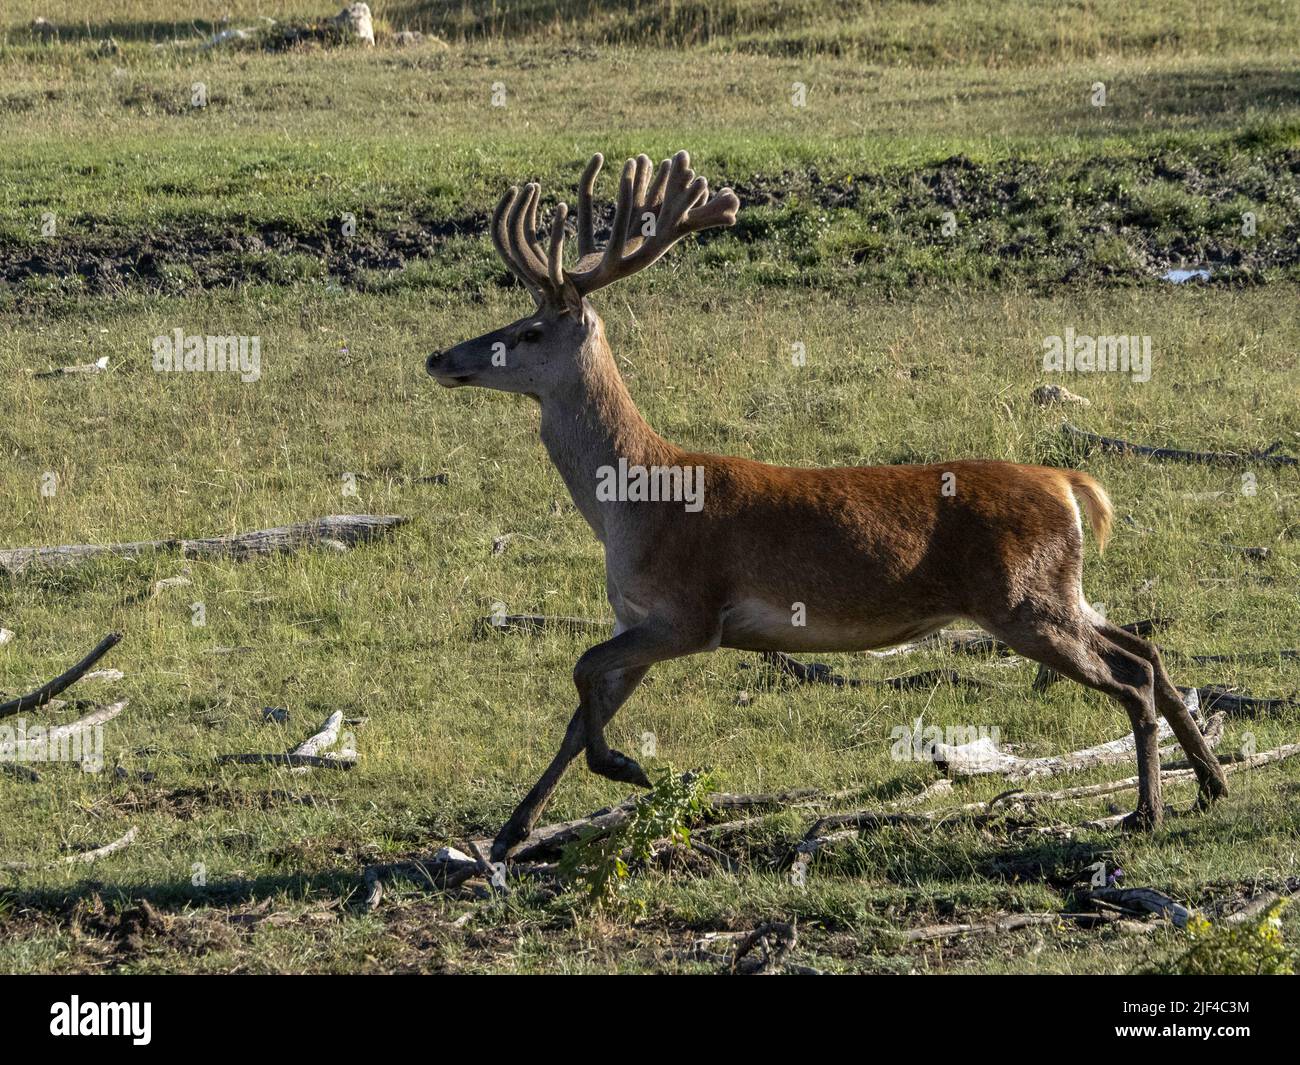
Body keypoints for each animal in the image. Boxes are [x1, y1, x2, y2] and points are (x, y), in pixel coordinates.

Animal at [426, 150, 1228, 863]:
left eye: (528, 331)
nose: (439, 356)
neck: (634, 500)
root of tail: (1066, 483)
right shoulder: (638, 619)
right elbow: (577, 710)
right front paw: (510, 833)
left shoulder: (690, 613)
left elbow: (580, 669)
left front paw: (625, 767)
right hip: (1059, 590)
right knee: (1145, 648)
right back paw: (1210, 784)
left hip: (1022, 599)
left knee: (1129, 674)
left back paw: (1149, 810)